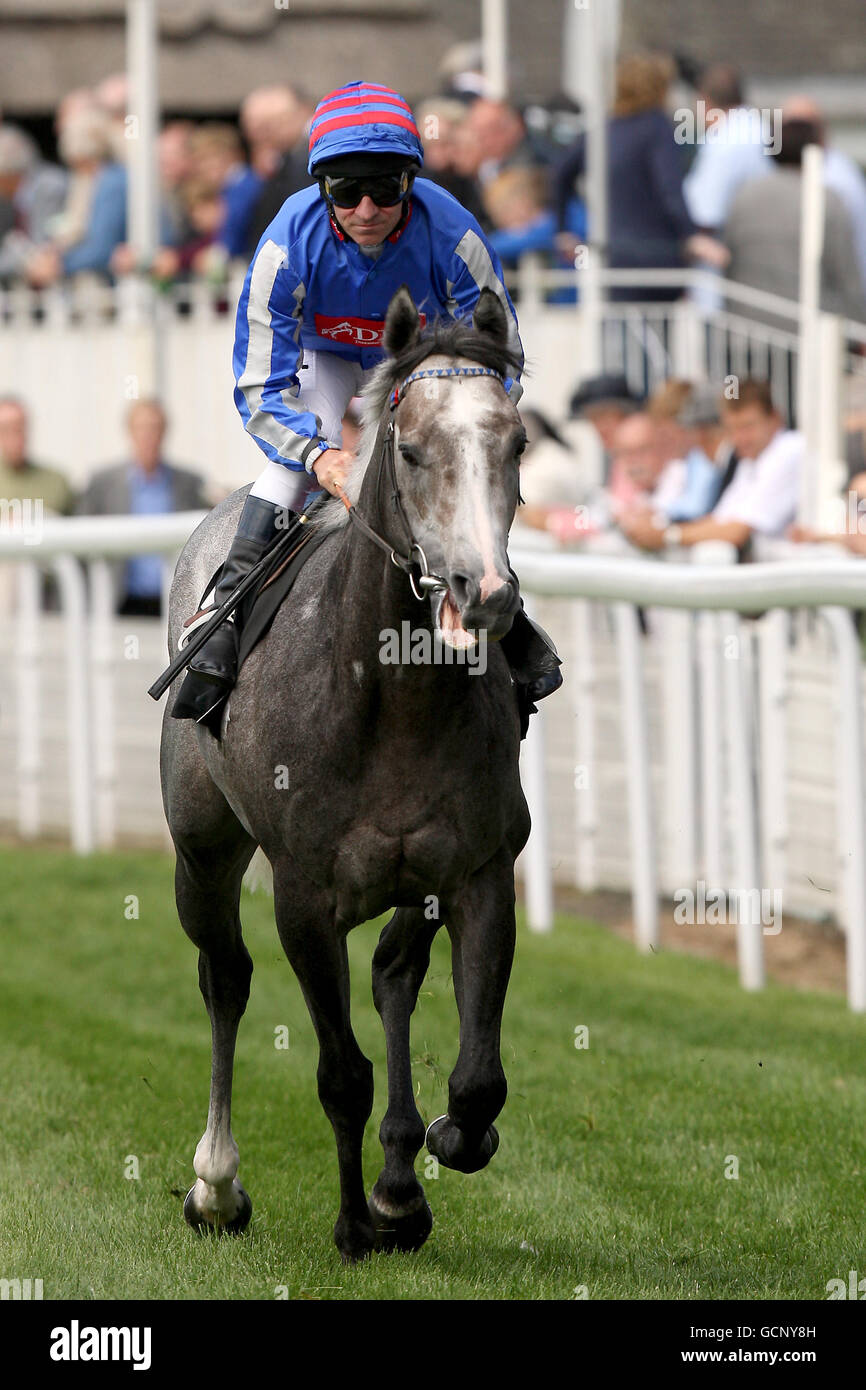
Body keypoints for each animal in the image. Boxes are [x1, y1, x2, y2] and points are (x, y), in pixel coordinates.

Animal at [159, 284, 532, 1263]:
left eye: (516, 443)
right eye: (410, 448)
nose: (484, 593)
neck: (393, 699)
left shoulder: (479, 871)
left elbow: (478, 1079)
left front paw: (431, 1155)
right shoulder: (304, 894)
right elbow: (339, 1072)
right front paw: (352, 1223)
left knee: (395, 974)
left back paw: (401, 1181)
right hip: (201, 851)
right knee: (224, 977)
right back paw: (217, 1186)